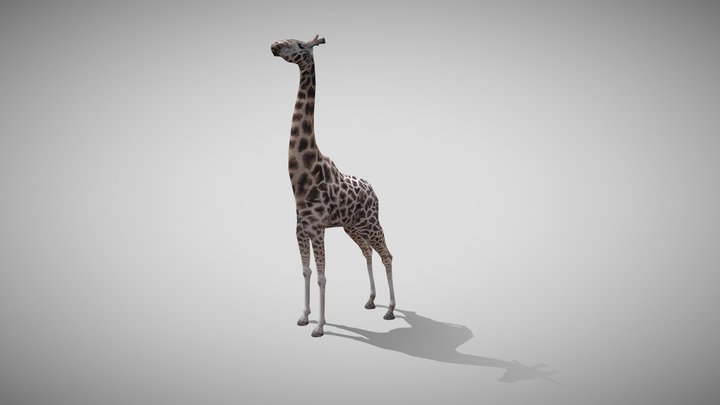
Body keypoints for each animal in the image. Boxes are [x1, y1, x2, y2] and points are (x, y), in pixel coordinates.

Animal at [271, 35, 396, 337]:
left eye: (299, 45)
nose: (274, 46)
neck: (302, 176)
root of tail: (374, 190)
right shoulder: (301, 228)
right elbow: (306, 271)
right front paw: (303, 317)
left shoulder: (317, 228)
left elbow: (322, 276)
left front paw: (319, 326)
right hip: (353, 227)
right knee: (367, 252)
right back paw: (371, 300)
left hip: (371, 223)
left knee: (387, 254)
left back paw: (390, 310)